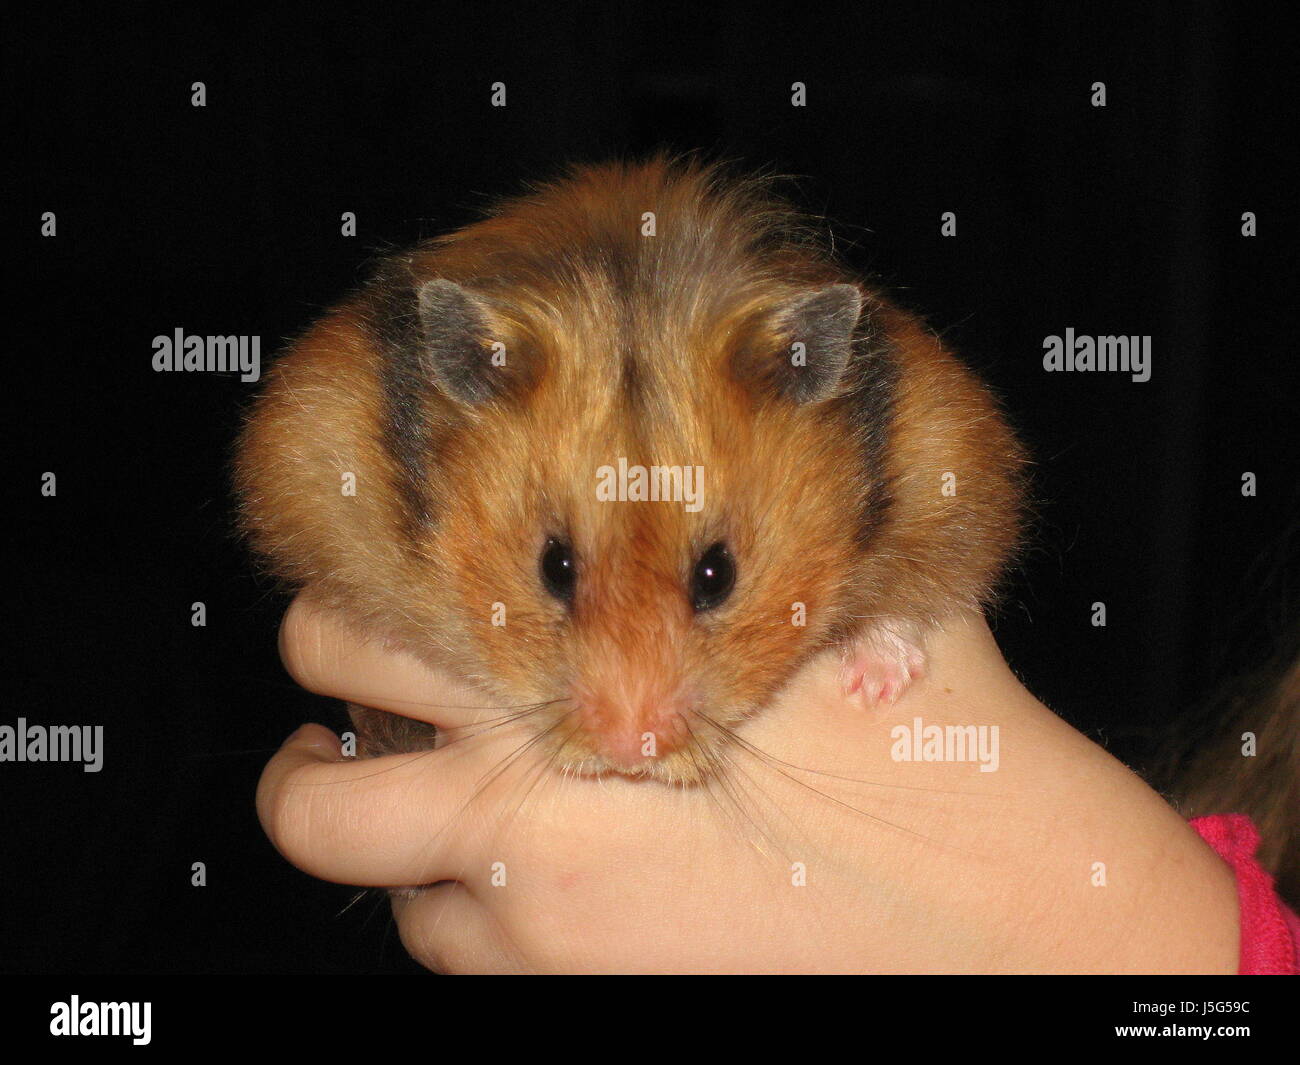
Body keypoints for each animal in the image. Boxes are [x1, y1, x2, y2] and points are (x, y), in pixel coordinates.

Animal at [235, 155, 1026, 783]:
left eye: (718, 575)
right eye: (553, 567)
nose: (629, 751)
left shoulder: (952, 465)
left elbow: (916, 594)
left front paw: (874, 683)